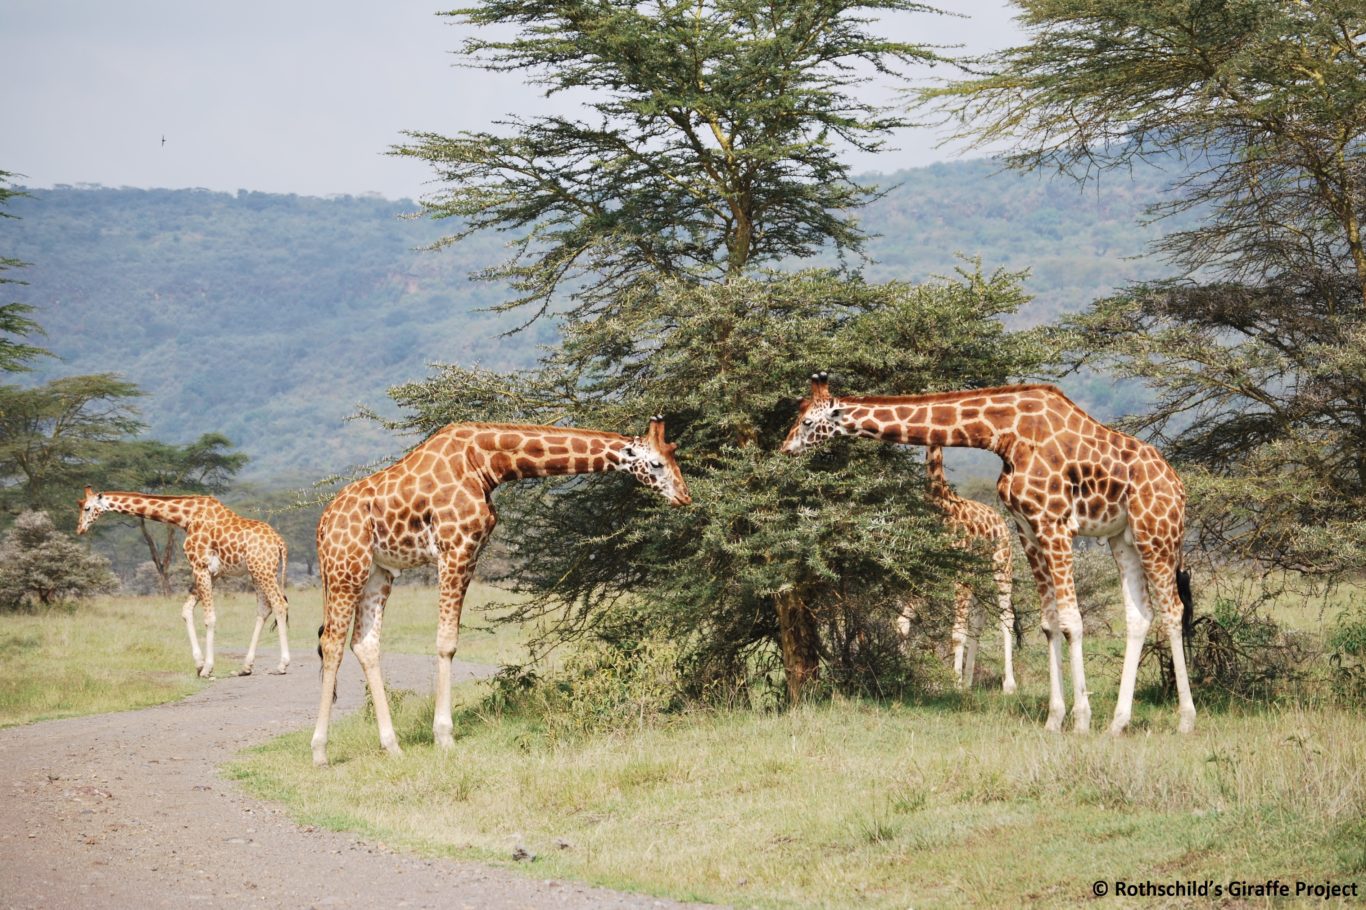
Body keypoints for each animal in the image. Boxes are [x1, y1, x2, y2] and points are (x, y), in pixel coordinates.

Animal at [76, 487, 290, 678]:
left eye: (86, 507)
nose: (79, 529)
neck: (186, 517)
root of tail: (280, 543)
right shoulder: (212, 572)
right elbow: (186, 610)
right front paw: (199, 664)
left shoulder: (200, 566)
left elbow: (209, 618)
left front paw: (207, 668)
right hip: (257, 572)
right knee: (264, 608)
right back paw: (245, 667)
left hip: (263, 570)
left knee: (280, 604)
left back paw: (282, 665)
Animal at [309, 416, 691, 766]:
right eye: (656, 463)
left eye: (674, 455)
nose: (684, 496)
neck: (487, 463)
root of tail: (323, 525)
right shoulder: (456, 547)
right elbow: (446, 642)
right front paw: (444, 737)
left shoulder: (471, 551)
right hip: (346, 567)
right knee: (332, 643)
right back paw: (320, 752)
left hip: (378, 572)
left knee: (365, 643)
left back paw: (392, 747)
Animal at [915, 444, 1017, 694]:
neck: (941, 503)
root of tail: (1002, 522)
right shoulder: (927, 569)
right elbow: (903, 621)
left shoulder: (961, 572)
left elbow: (957, 633)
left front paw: (954, 683)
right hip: (979, 577)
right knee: (979, 623)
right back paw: (969, 681)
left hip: (1001, 567)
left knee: (1006, 617)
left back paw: (1009, 684)